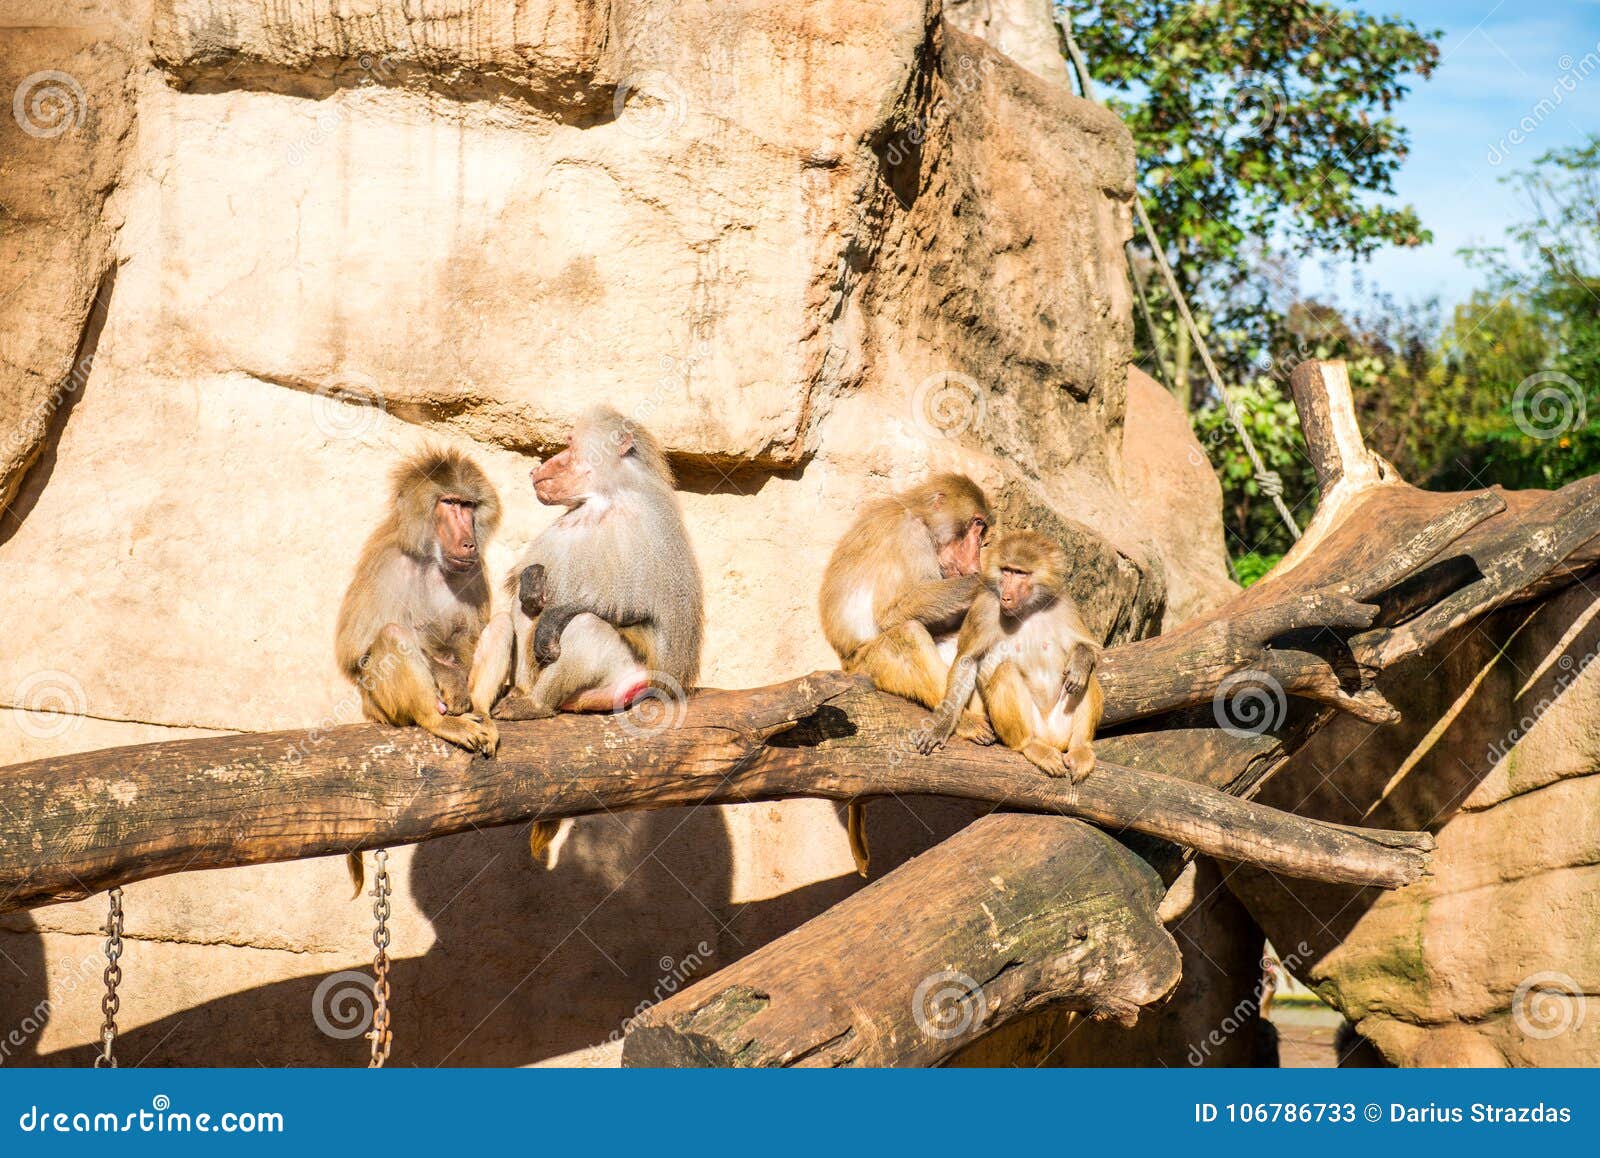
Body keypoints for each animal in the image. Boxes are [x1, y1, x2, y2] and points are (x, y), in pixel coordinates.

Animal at [335, 446, 512, 892]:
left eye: (468, 506)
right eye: (448, 503)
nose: (468, 541)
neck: (432, 559)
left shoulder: (474, 569)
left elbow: (471, 633)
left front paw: (463, 688)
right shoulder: (386, 562)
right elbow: (354, 651)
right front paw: (448, 686)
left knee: (503, 623)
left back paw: (480, 713)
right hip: (381, 706)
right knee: (392, 635)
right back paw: (440, 720)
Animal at [492, 406, 704, 859]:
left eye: (570, 445)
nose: (537, 470)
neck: (604, 501)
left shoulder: (647, 525)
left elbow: (630, 610)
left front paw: (558, 614)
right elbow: (529, 588)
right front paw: (533, 580)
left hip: (632, 678)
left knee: (586, 626)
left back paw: (536, 704)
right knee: (523, 608)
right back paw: (522, 694)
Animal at [817, 472, 996, 876]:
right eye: (977, 526)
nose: (977, 556)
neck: (920, 516)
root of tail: (846, 666)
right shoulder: (910, 539)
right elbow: (892, 612)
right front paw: (985, 583)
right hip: (873, 666)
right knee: (908, 632)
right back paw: (961, 722)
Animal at [916, 530, 1103, 783]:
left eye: (1020, 573)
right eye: (1007, 571)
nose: (1006, 597)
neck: (1028, 610)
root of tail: (1052, 739)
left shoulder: (1065, 604)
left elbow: (1090, 648)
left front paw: (1079, 665)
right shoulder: (984, 608)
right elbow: (967, 661)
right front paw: (941, 726)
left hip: (1063, 728)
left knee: (1087, 677)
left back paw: (1080, 748)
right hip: (1029, 729)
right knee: (1006, 671)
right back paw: (1031, 746)